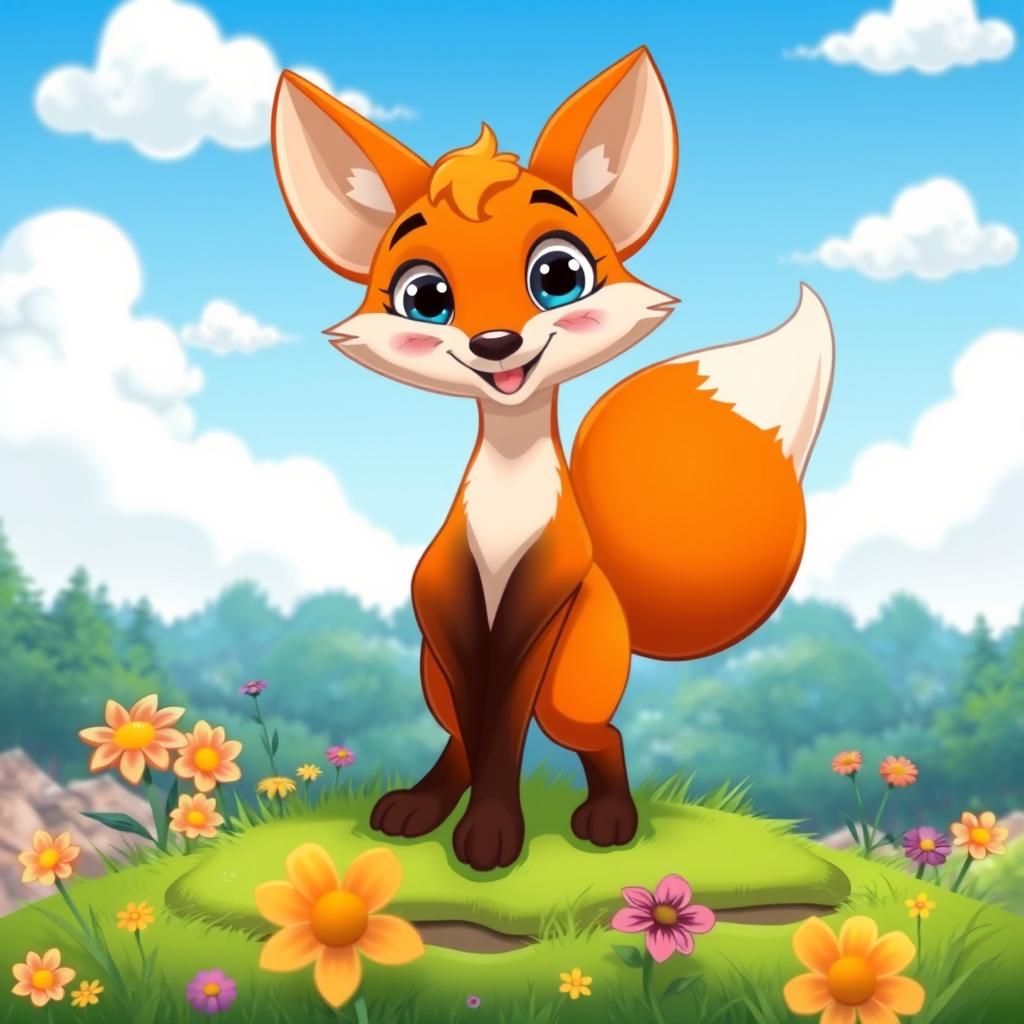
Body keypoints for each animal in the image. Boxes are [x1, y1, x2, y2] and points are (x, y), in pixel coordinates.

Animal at [271, 47, 834, 871]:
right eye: (425, 296)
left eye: (559, 276)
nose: (497, 344)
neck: (507, 506)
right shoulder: (446, 595)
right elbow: (479, 721)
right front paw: (465, 819)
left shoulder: (544, 600)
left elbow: (504, 724)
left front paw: (490, 836)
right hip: (433, 676)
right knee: (457, 733)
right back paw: (422, 803)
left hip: (574, 691)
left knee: (599, 735)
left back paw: (609, 818)